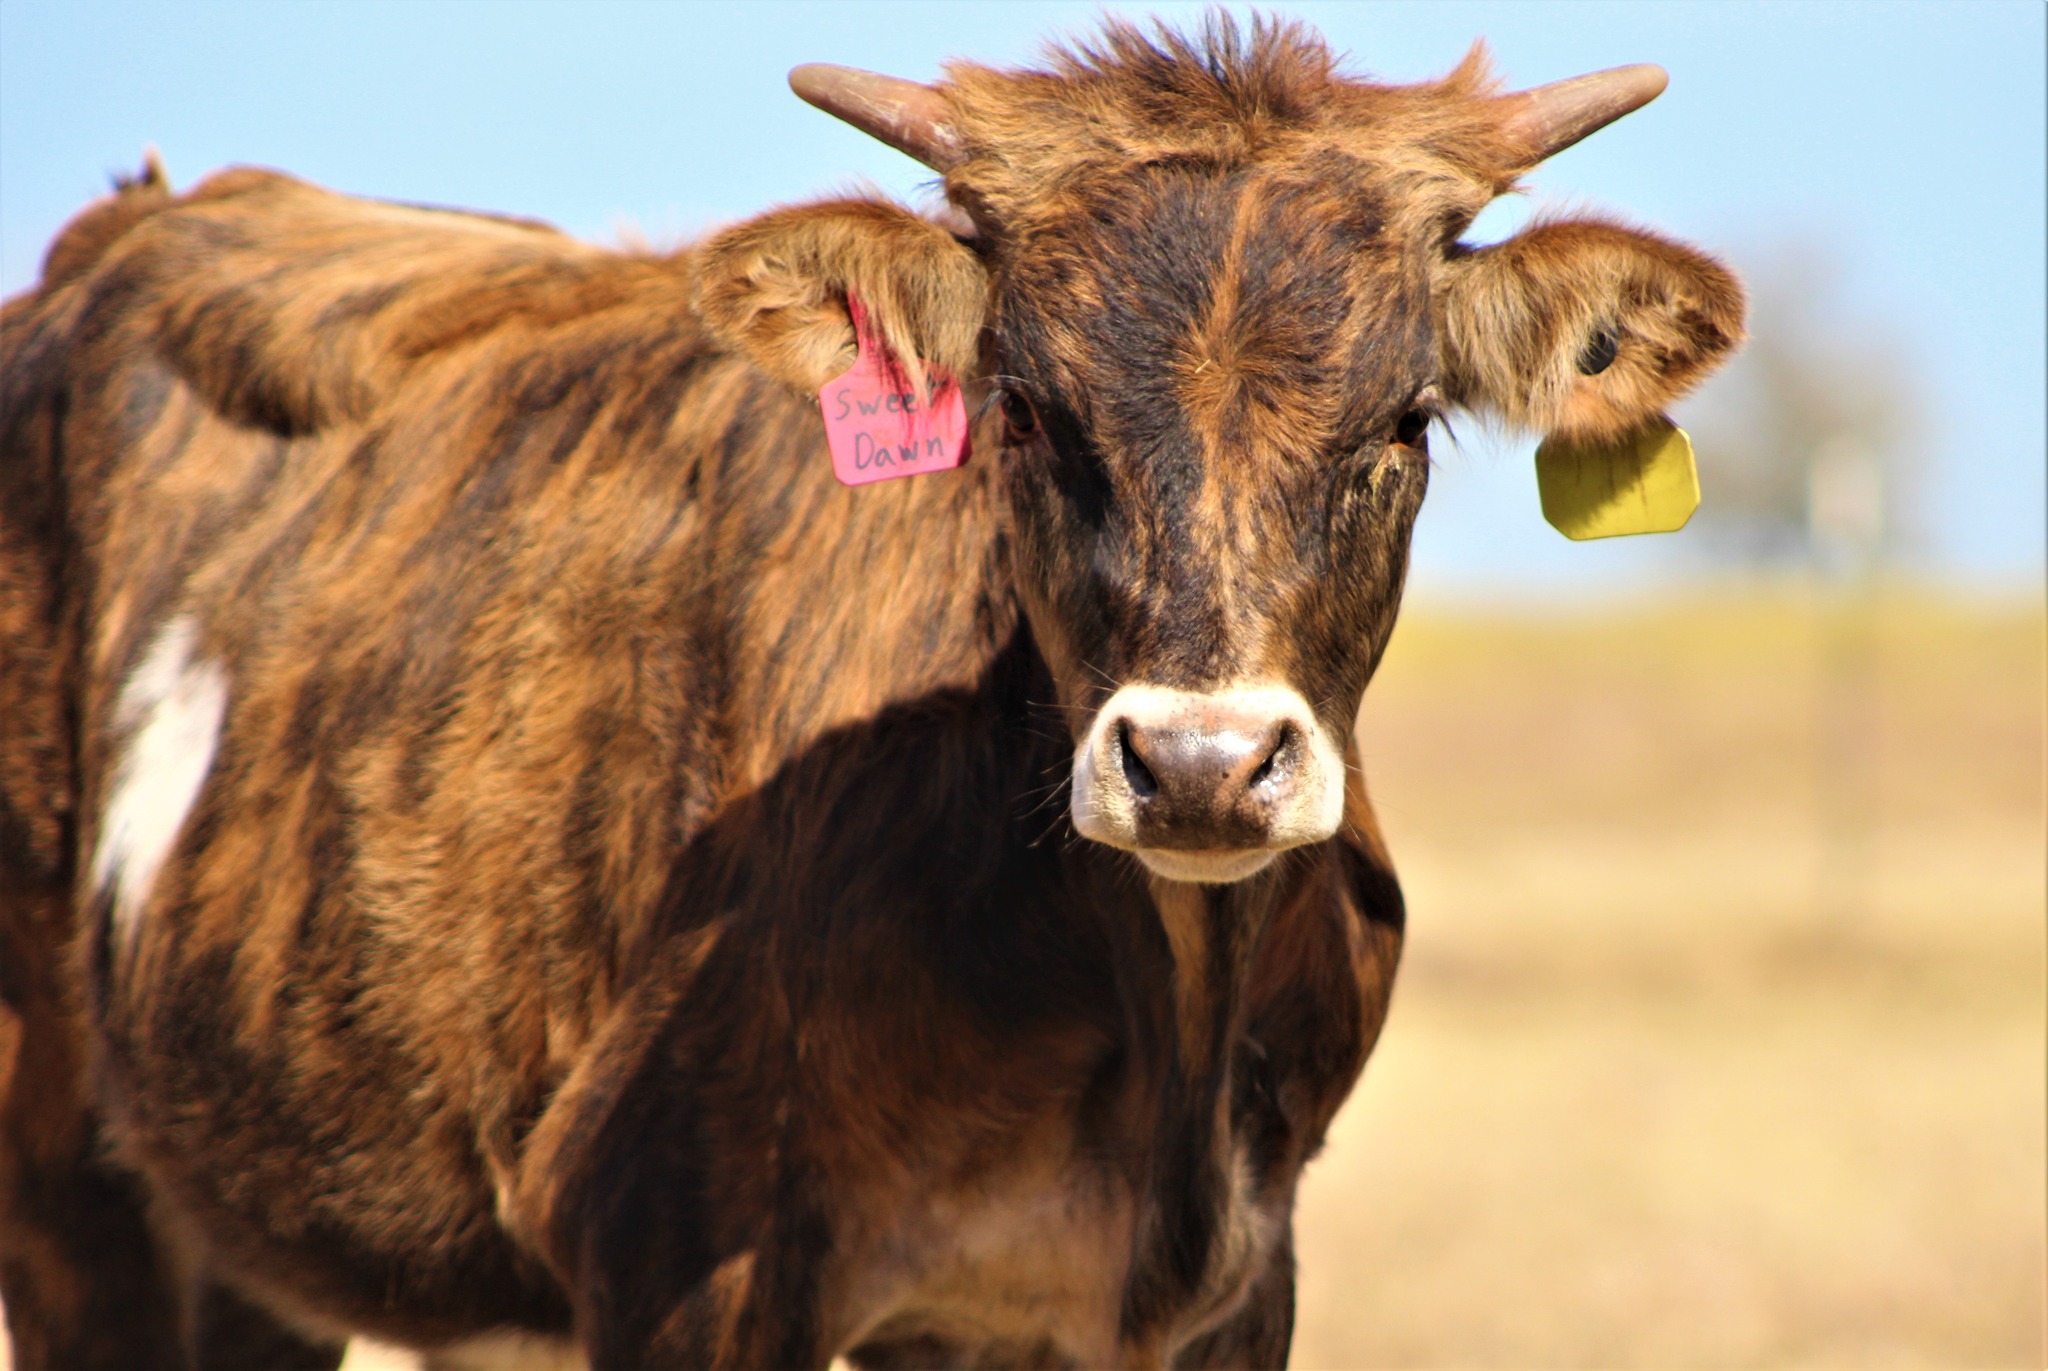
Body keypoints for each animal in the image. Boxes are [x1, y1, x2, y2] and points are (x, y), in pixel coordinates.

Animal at [0, 16, 1743, 1369]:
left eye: (1404, 423)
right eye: (1025, 412)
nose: (1200, 763)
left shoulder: (1208, 1289)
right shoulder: (682, 1254)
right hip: (72, 1180)